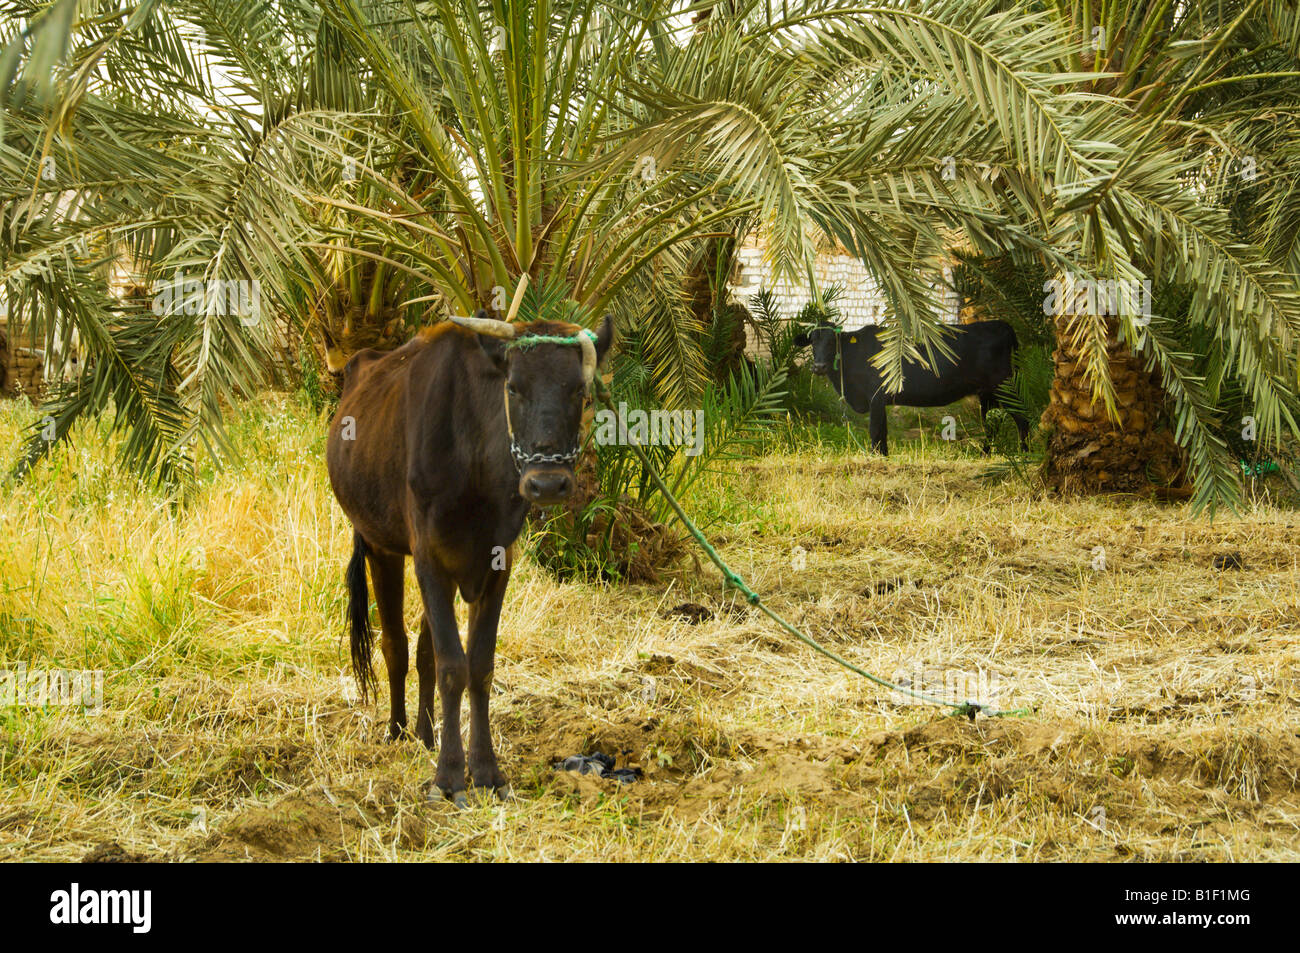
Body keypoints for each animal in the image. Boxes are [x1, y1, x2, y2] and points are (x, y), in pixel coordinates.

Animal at [326, 307, 613, 803]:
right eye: (514, 387)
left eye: (579, 389)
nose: (546, 484)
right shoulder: (428, 559)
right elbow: (451, 666)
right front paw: (448, 777)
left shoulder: (499, 562)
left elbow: (477, 665)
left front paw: (484, 770)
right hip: (380, 544)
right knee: (396, 644)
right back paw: (398, 731)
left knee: (423, 651)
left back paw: (425, 734)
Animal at [794, 320, 1028, 455]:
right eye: (812, 342)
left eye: (833, 341)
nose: (819, 366)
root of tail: (1001, 323)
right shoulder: (881, 401)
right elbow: (883, 432)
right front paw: (884, 457)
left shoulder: (875, 397)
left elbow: (875, 431)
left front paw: (874, 457)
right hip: (987, 393)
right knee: (991, 424)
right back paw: (986, 454)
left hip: (1004, 386)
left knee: (1022, 418)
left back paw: (1024, 453)